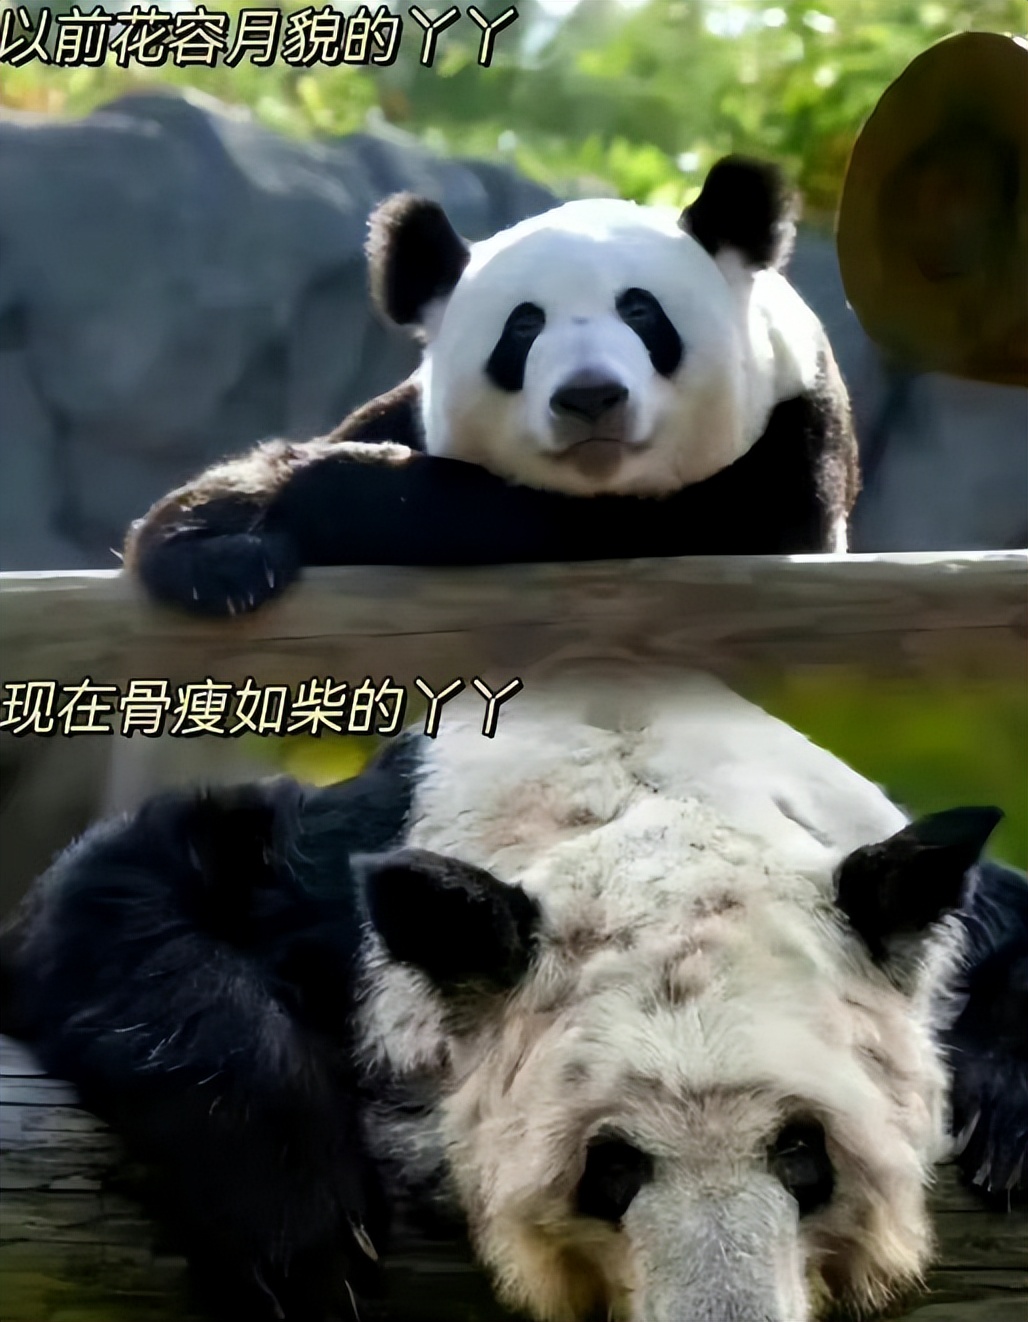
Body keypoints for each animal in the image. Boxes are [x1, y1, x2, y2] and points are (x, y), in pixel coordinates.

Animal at [2, 676, 1025, 1322]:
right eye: (611, 1168)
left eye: (803, 1153)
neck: (641, 791)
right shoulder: (341, 899)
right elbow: (128, 892)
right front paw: (302, 1232)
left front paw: (1005, 1126)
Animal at [126, 157, 859, 616]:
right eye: (524, 327)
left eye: (640, 311)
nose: (590, 396)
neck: (601, 480)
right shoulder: (406, 411)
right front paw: (223, 562)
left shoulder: (782, 453)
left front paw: (340, 485)